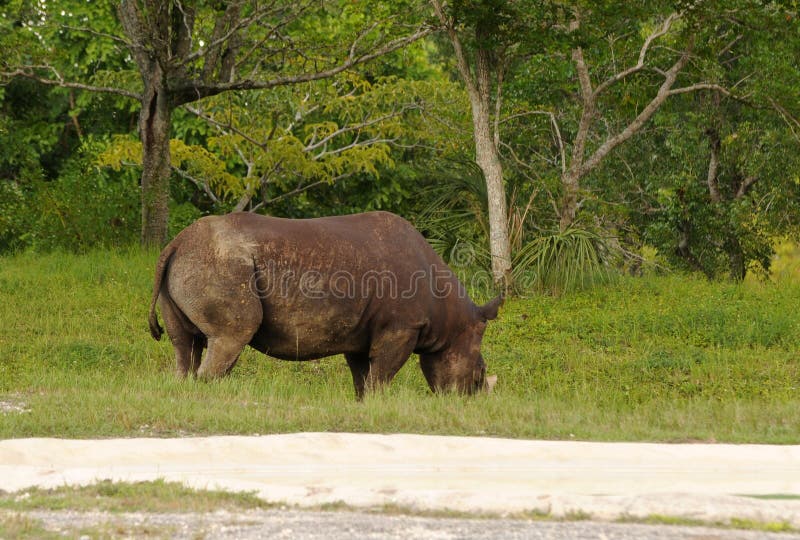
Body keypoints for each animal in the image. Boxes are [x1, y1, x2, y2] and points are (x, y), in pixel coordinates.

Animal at [148, 211, 501, 399]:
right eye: (480, 372)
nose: (474, 398)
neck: (451, 318)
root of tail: (175, 242)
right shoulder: (402, 327)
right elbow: (382, 374)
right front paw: (379, 403)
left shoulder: (362, 333)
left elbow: (363, 377)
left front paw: (365, 406)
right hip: (221, 263)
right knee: (232, 334)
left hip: (189, 262)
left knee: (185, 346)